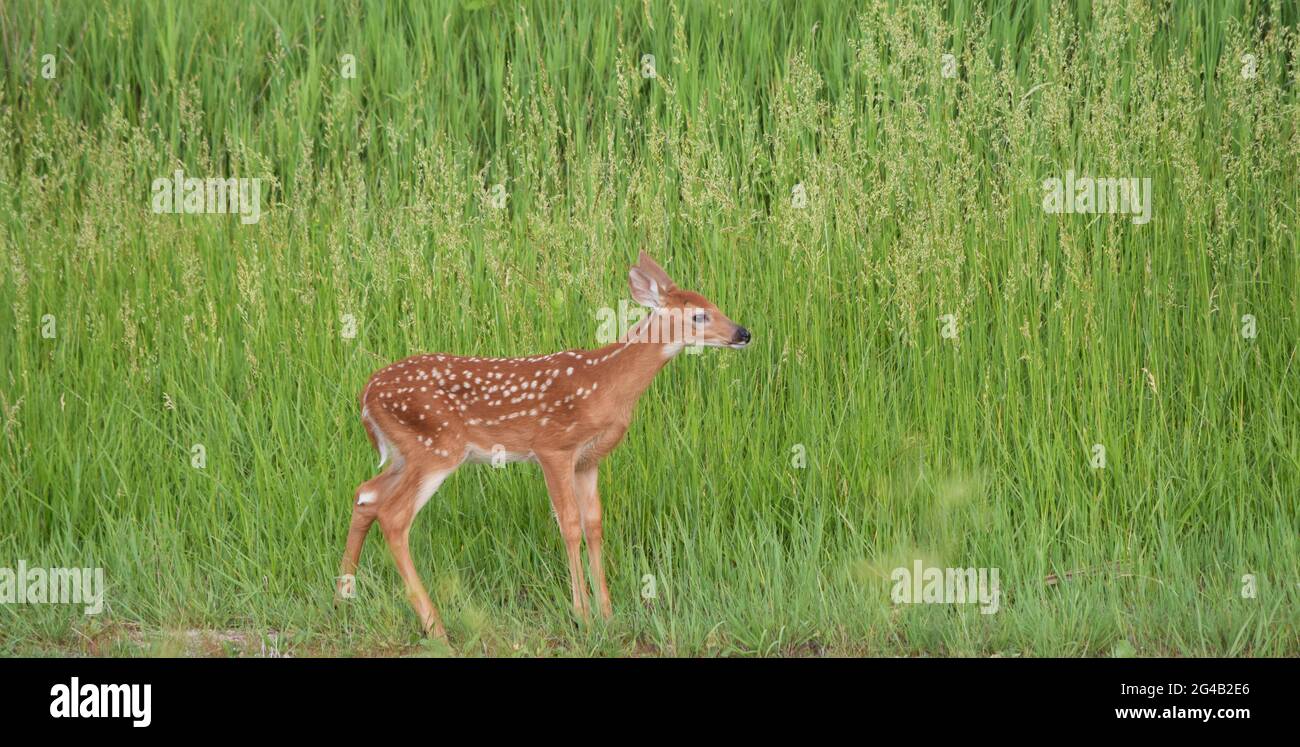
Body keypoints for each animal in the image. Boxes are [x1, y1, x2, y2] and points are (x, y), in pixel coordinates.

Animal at [335, 252, 751, 641]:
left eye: (715, 304)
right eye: (699, 315)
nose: (743, 333)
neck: (606, 385)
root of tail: (366, 394)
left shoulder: (588, 459)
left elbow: (594, 524)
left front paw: (607, 613)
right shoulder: (553, 448)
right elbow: (569, 524)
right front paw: (583, 616)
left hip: (406, 453)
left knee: (366, 494)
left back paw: (344, 597)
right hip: (436, 447)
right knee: (393, 515)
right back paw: (435, 627)